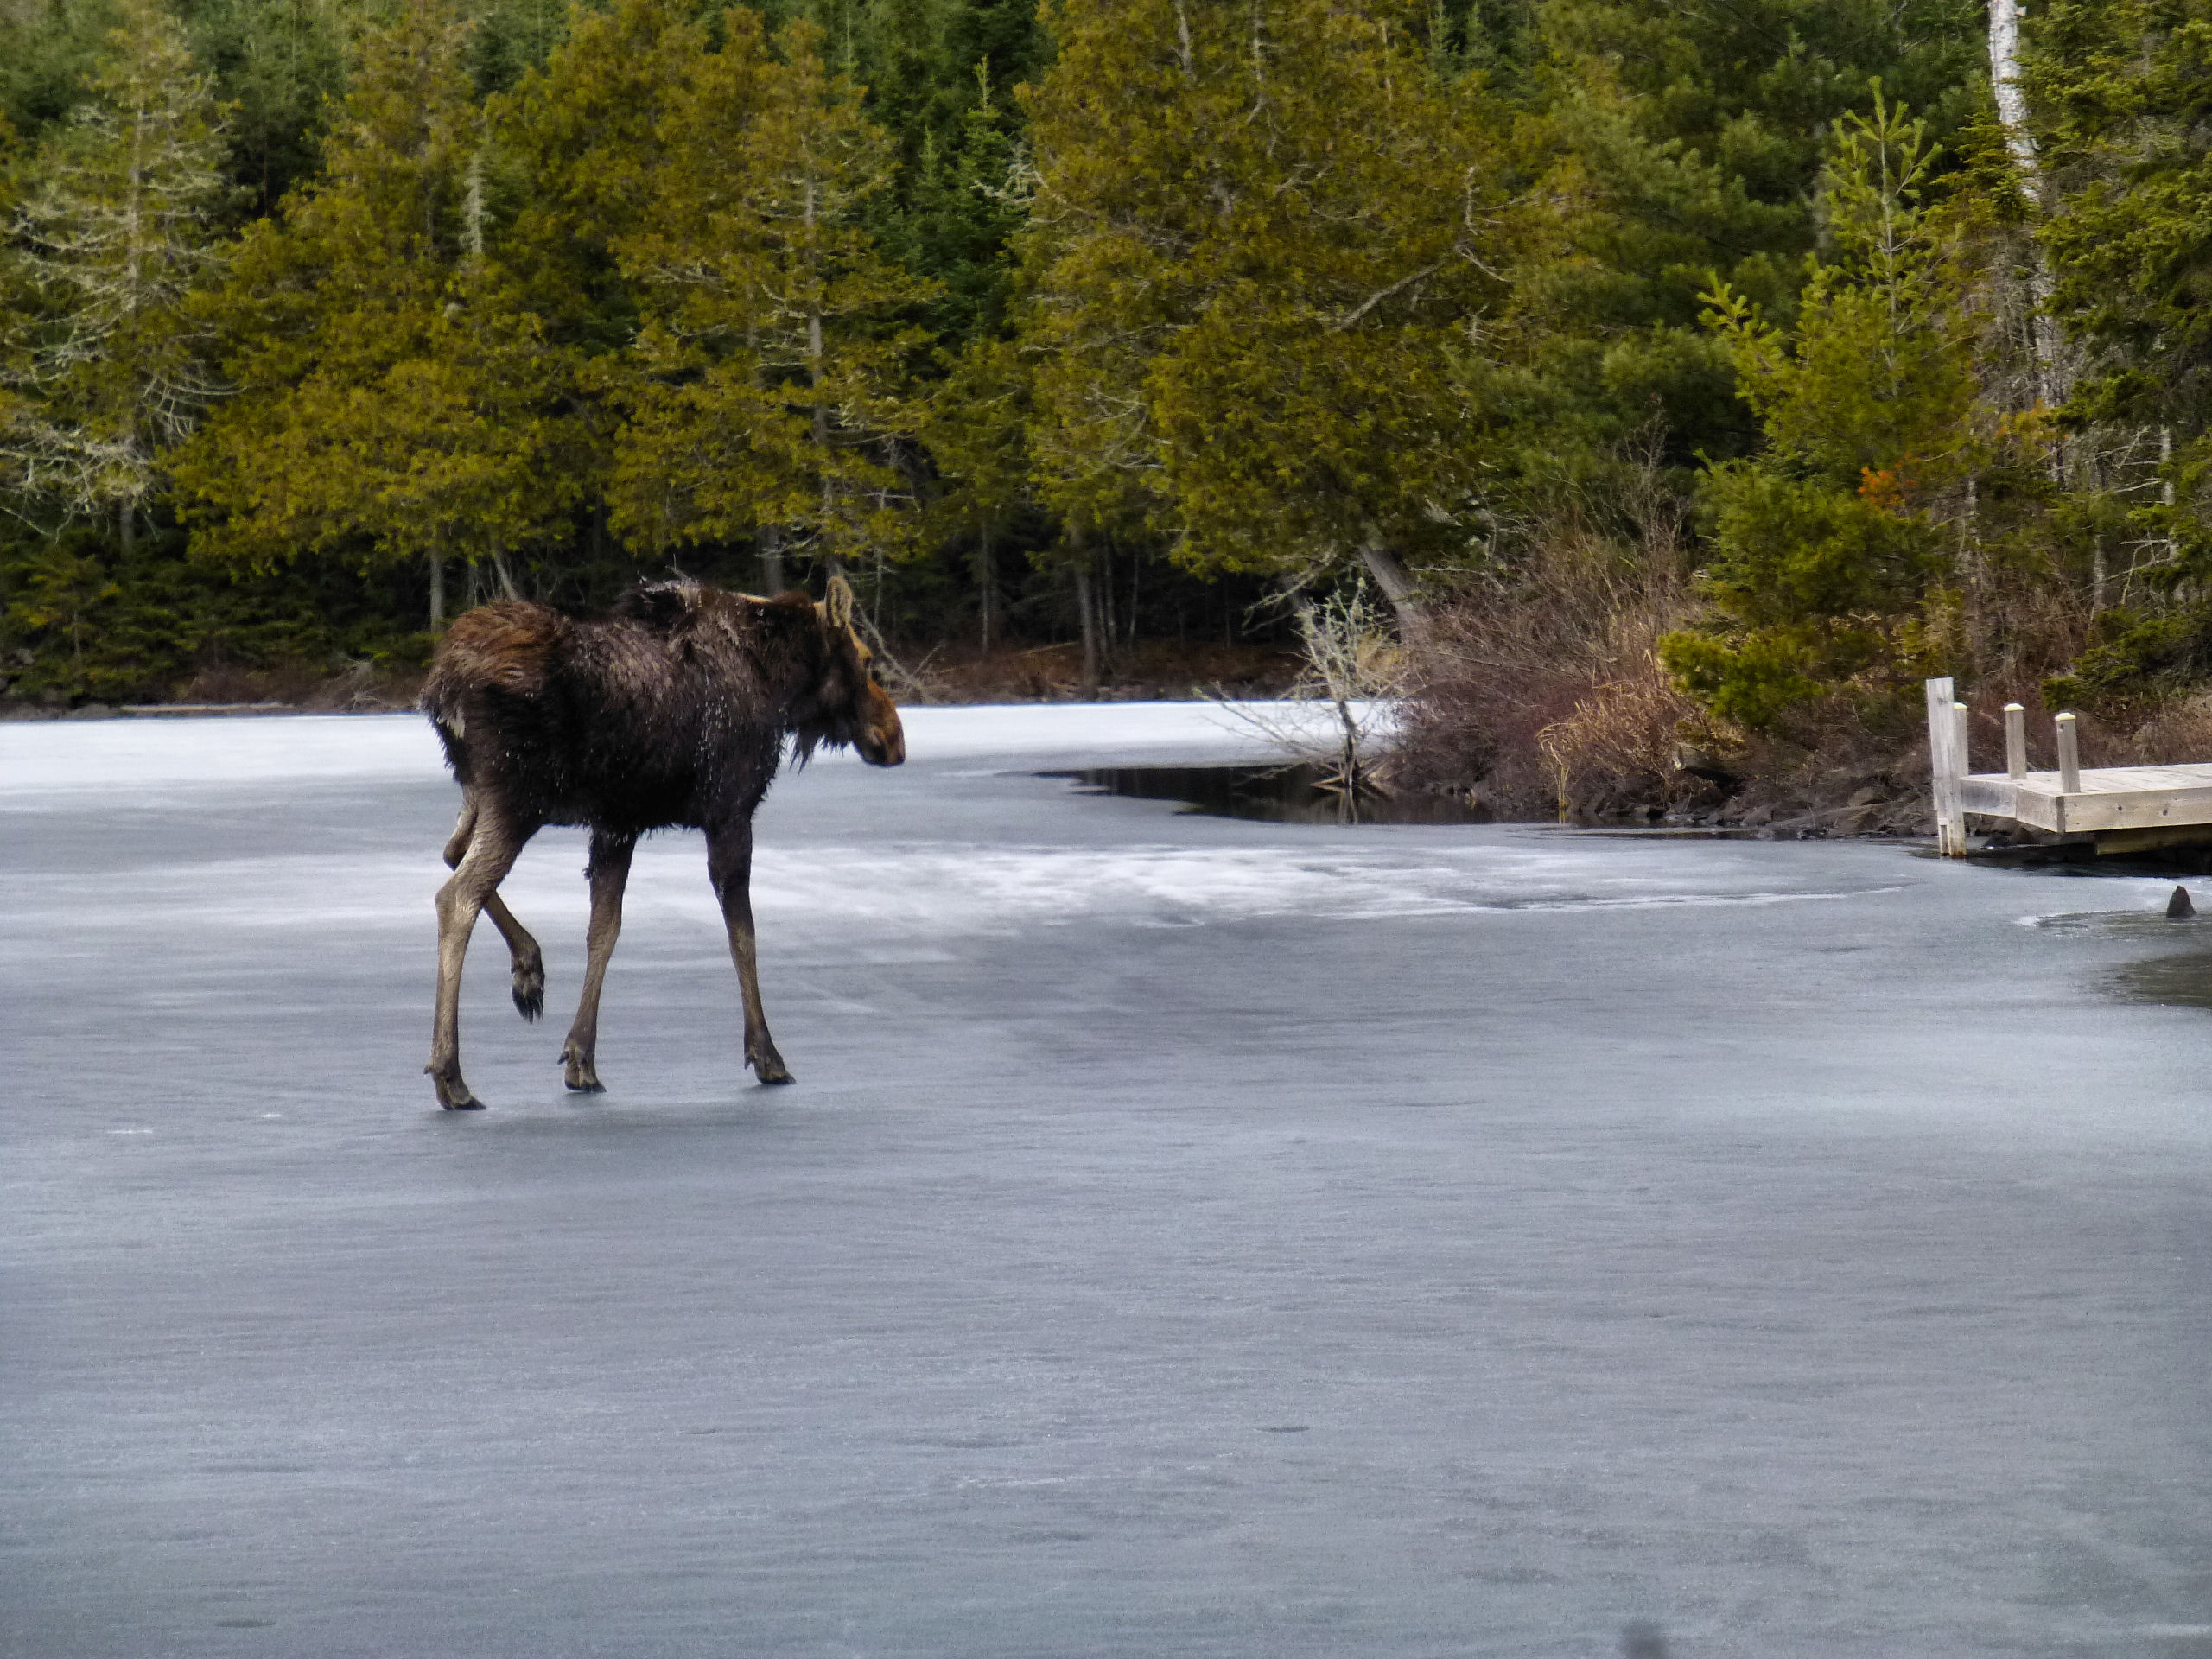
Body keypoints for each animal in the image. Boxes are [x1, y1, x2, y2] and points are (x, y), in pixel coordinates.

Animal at [418, 573, 905, 1110]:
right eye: (865, 659)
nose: (893, 738)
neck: (778, 684)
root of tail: (443, 687)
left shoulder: (617, 822)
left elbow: (603, 931)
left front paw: (580, 1058)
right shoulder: (730, 809)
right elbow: (743, 935)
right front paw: (766, 1054)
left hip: (479, 790)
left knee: (452, 853)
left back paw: (528, 969)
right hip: (517, 798)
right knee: (458, 896)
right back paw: (451, 1074)